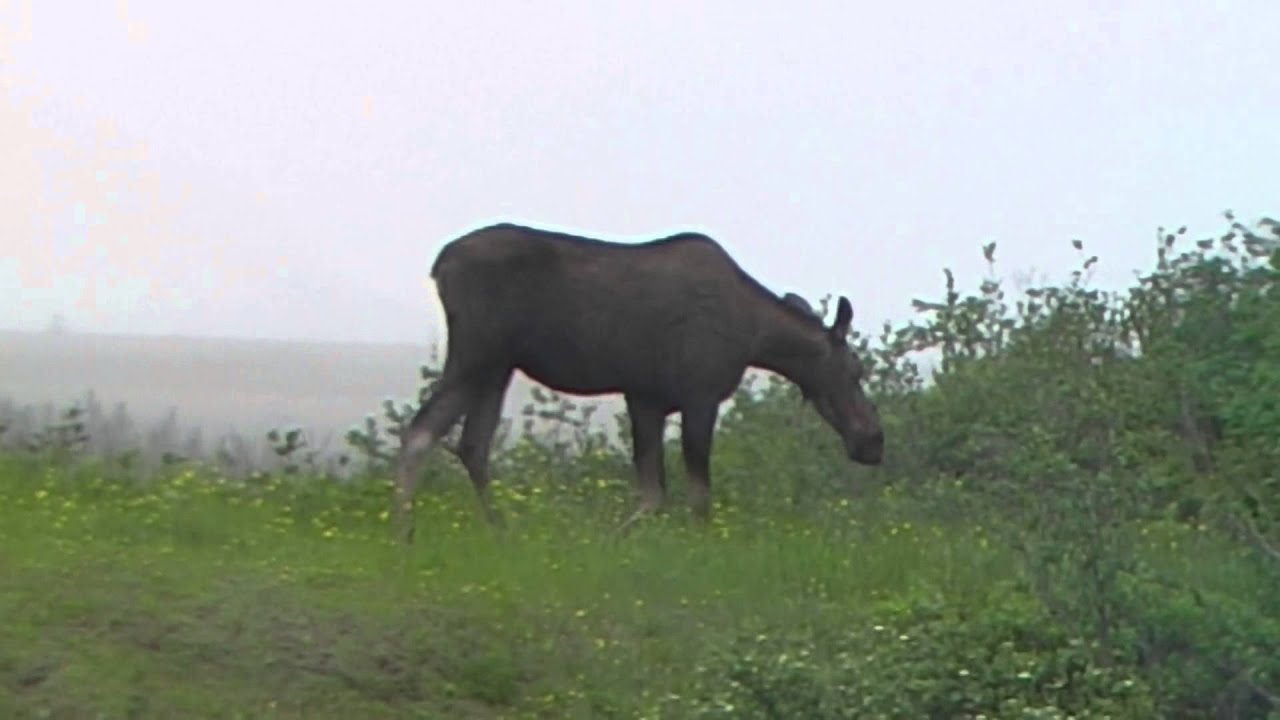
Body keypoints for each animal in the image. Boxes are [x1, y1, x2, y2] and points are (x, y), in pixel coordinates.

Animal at [393, 222, 884, 542]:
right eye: (856, 370)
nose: (874, 441)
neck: (756, 336)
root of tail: (440, 266)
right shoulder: (700, 396)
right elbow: (696, 494)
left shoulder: (646, 398)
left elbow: (652, 493)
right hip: (477, 354)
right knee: (422, 430)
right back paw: (405, 530)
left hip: (497, 366)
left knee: (471, 444)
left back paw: (499, 529)